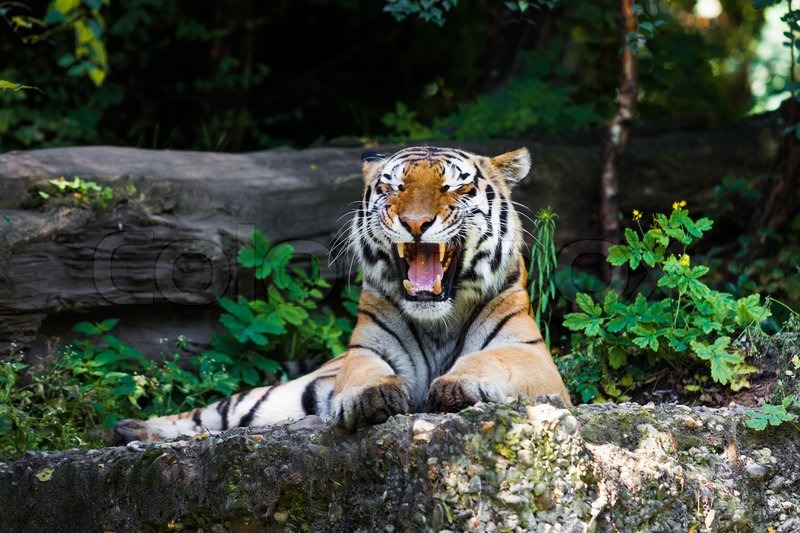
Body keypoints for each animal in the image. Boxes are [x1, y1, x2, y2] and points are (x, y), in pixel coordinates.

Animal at [113, 146, 571, 443]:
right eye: (393, 188)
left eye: (452, 188)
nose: (415, 223)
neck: (437, 319)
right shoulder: (366, 351)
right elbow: (366, 374)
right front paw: (371, 396)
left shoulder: (531, 356)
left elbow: (491, 359)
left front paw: (458, 386)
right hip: (274, 396)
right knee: (208, 413)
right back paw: (132, 429)